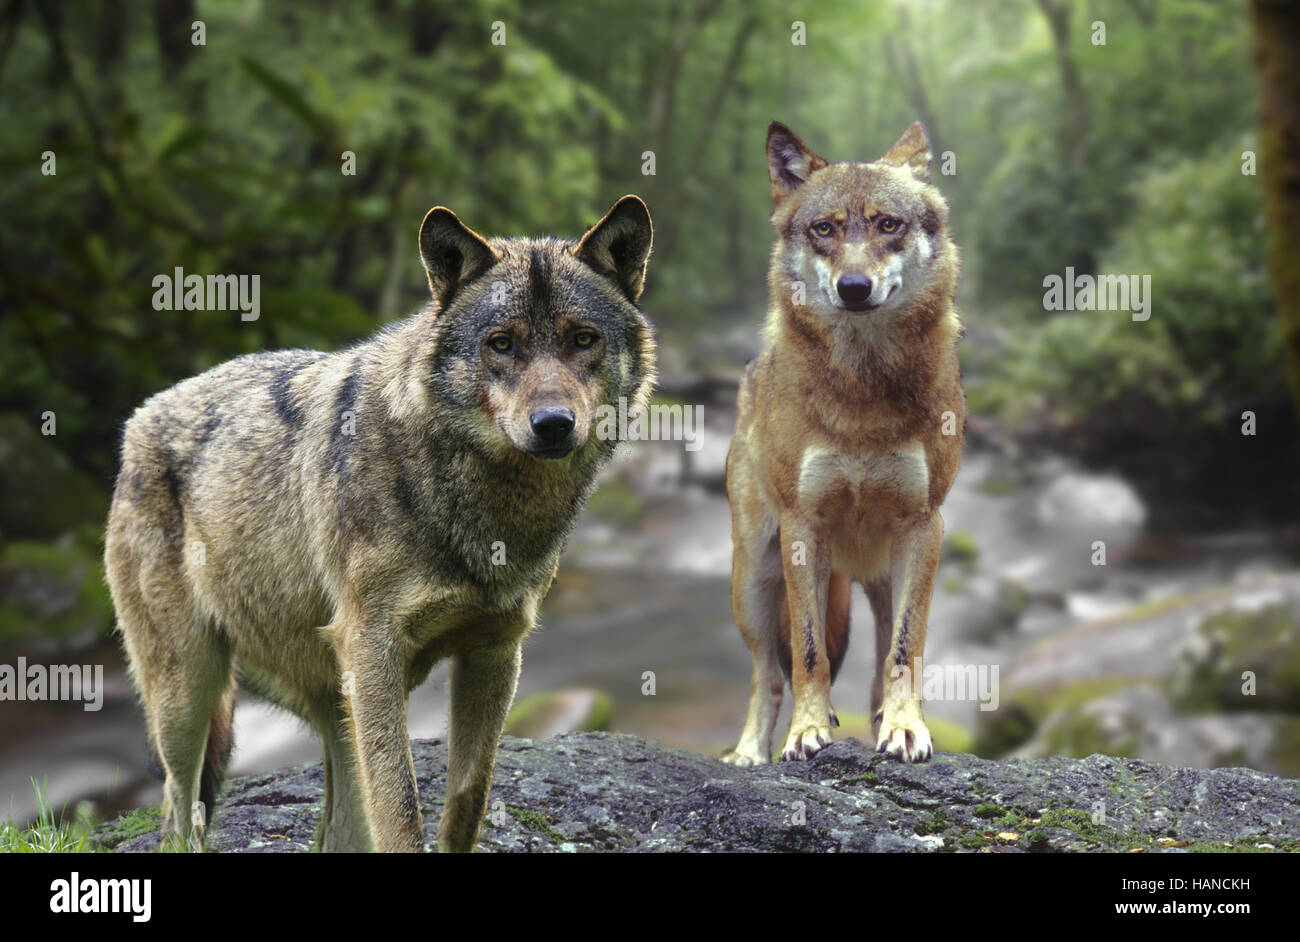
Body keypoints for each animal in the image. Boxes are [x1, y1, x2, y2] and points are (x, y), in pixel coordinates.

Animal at [105, 196, 655, 851]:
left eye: (582, 339)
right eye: (501, 344)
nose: (552, 424)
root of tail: (142, 415)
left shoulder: (496, 651)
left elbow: (465, 802)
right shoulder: (376, 649)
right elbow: (401, 812)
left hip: (334, 710)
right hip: (190, 694)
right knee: (176, 809)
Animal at [722, 121, 964, 766]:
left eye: (888, 225)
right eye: (825, 229)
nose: (854, 288)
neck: (862, 391)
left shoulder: (923, 525)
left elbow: (906, 648)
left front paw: (904, 728)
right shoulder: (802, 527)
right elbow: (809, 651)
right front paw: (808, 732)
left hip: (880, 573)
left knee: (881, 659)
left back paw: (883, 718)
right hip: (754, 577)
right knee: (766, 673)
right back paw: (750, 752)